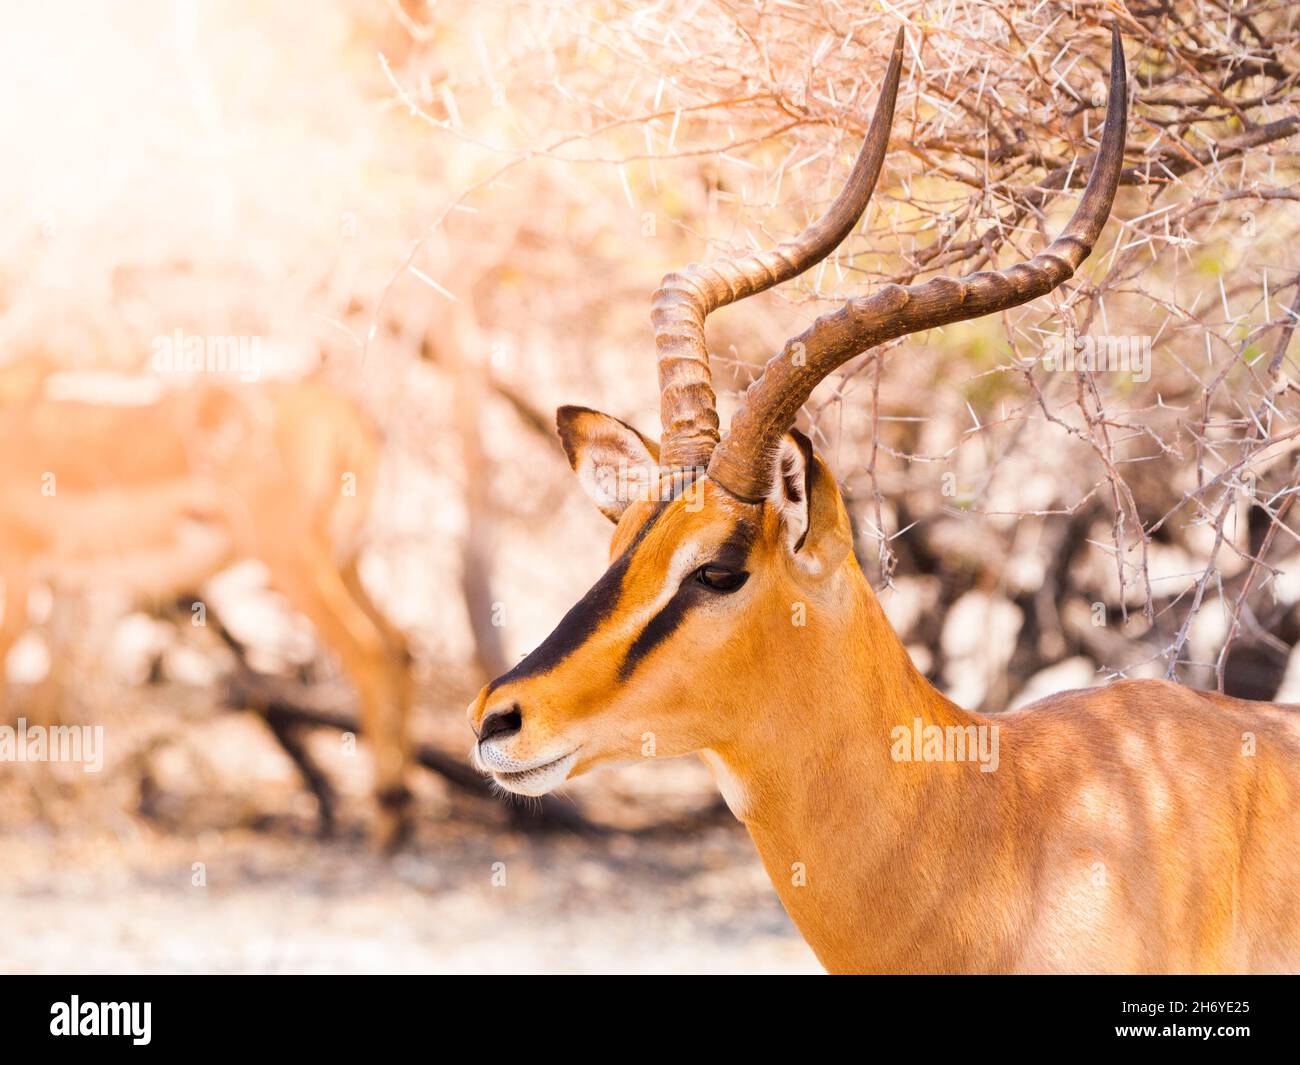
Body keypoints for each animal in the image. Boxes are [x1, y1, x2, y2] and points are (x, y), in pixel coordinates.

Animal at [0, 358, 412, 844]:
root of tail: (352, 418)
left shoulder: (19, 579)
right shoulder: (64, 585)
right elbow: (50, 695)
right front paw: (54, 808)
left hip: (295, 563)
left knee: (370, 654)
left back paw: (386, 825)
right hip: (345, 561)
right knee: (400, 646)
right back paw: (403, 811)